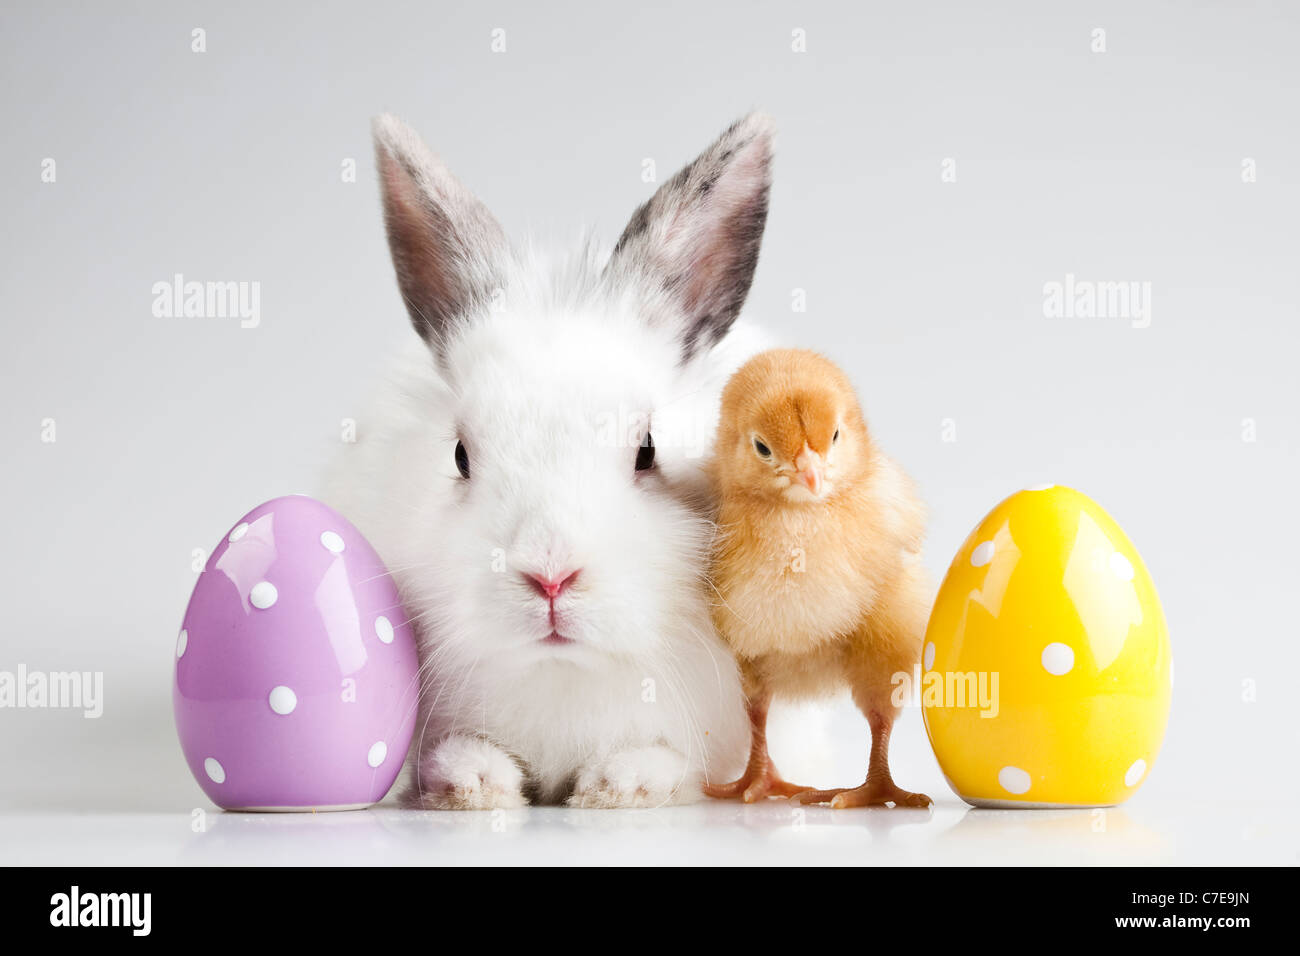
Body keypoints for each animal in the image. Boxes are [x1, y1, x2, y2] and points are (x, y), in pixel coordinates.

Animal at [322, 112, 777, 808]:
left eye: (647, 451)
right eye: (461, 455)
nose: (551, 577)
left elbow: (679, 766)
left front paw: (622, 785)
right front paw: (475, 782)